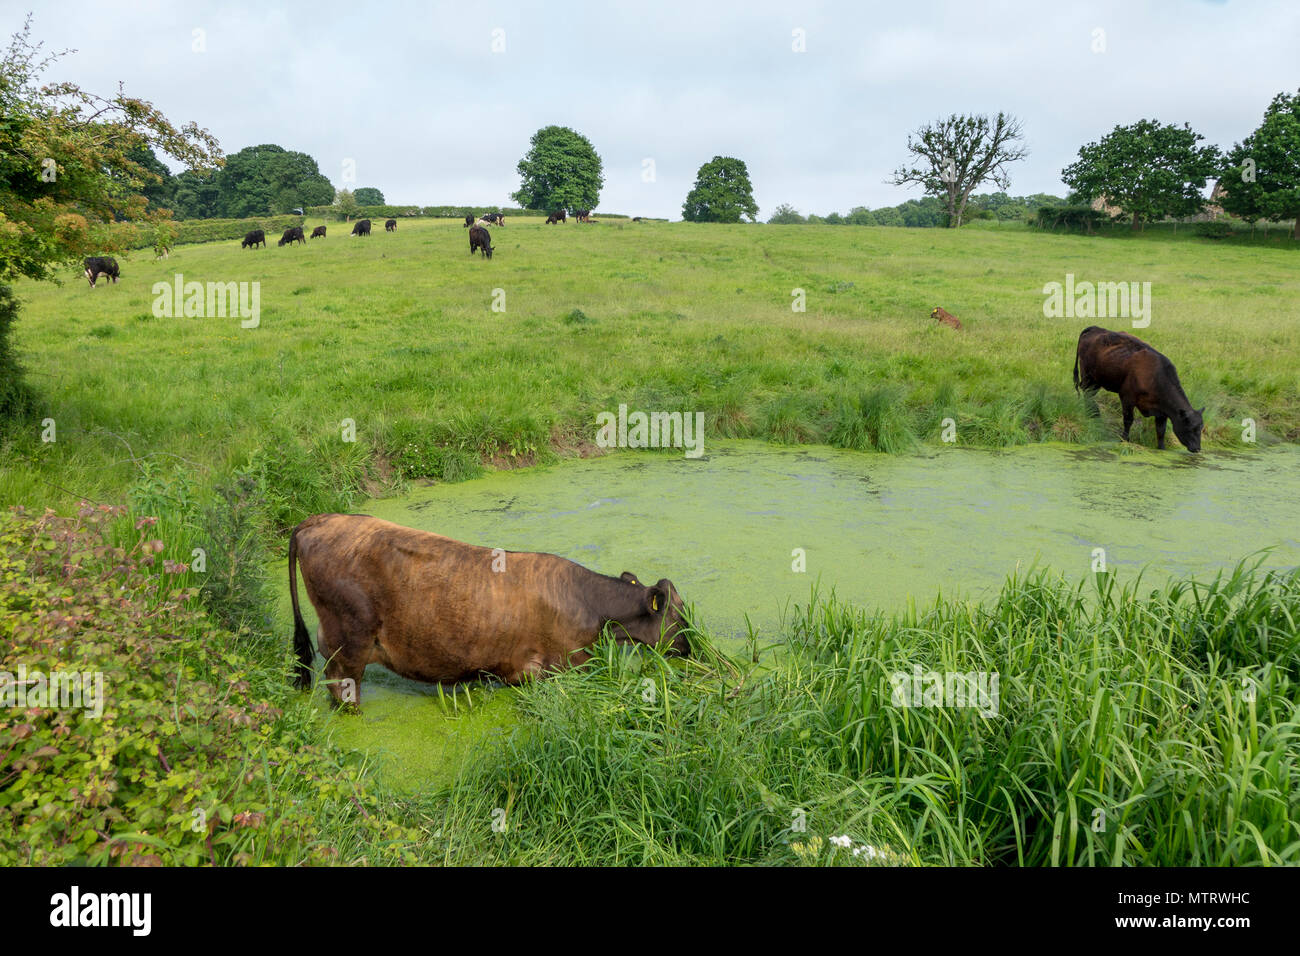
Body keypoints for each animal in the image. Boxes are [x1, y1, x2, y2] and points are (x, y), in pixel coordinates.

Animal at [288, 514, 691, 708]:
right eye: (679, 617)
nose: (693, 649)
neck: (588, 603)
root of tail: (319, 519)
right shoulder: (552, 669)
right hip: (349, 644)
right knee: (343, 685)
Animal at [1073, 326, 1205, 452]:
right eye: (1190, 428)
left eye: (1201, 428)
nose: (1197, 448)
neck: (1155, 376)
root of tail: (1095, 328)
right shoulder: (1127, 397)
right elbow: (1128, 420)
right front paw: (1124, 440)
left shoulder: (1162, 412)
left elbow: (1161, 431)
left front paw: (1161, 448)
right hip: (1087, 375)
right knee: (1086, 392)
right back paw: (1091, 414)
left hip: (1097, 381)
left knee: (1090, 394)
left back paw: (1094, 414)